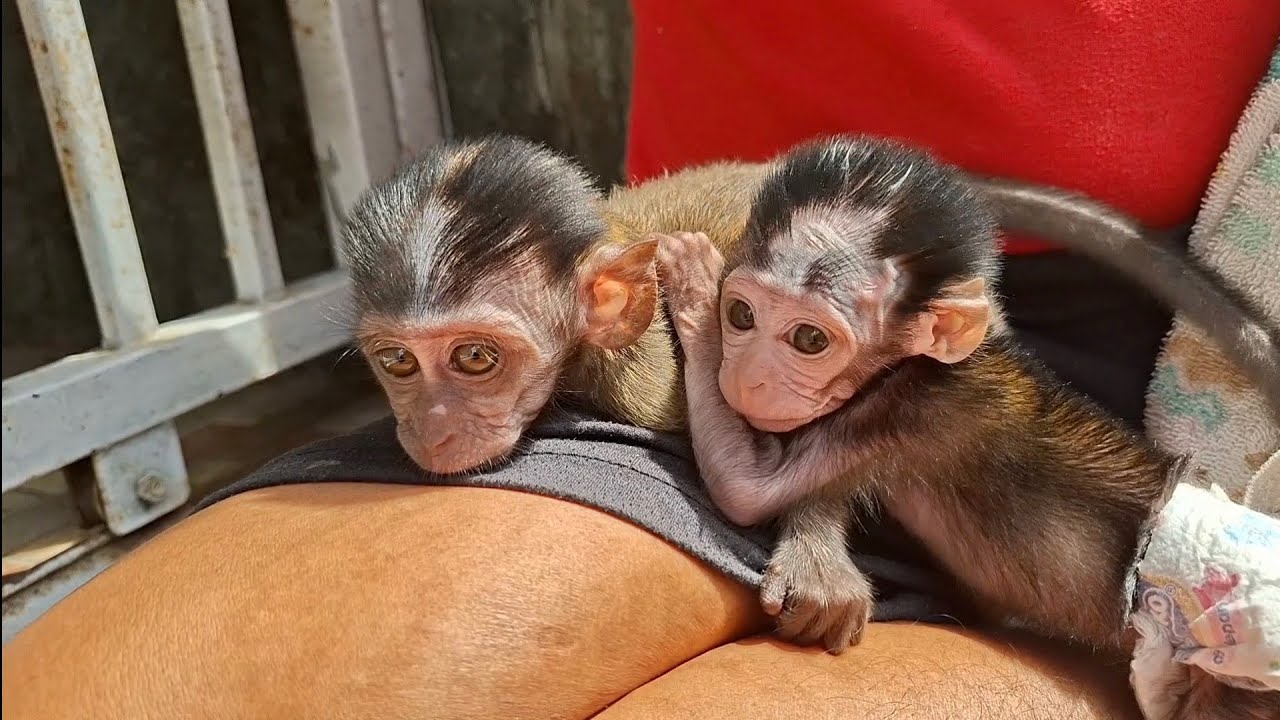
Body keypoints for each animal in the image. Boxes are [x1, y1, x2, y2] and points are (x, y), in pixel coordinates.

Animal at [653, 135, 1279, 718]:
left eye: (809, 339)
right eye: (742, 314)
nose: (749, 379)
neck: (914, 367)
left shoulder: (909, 412)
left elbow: (747, 490)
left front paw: (692, 283)